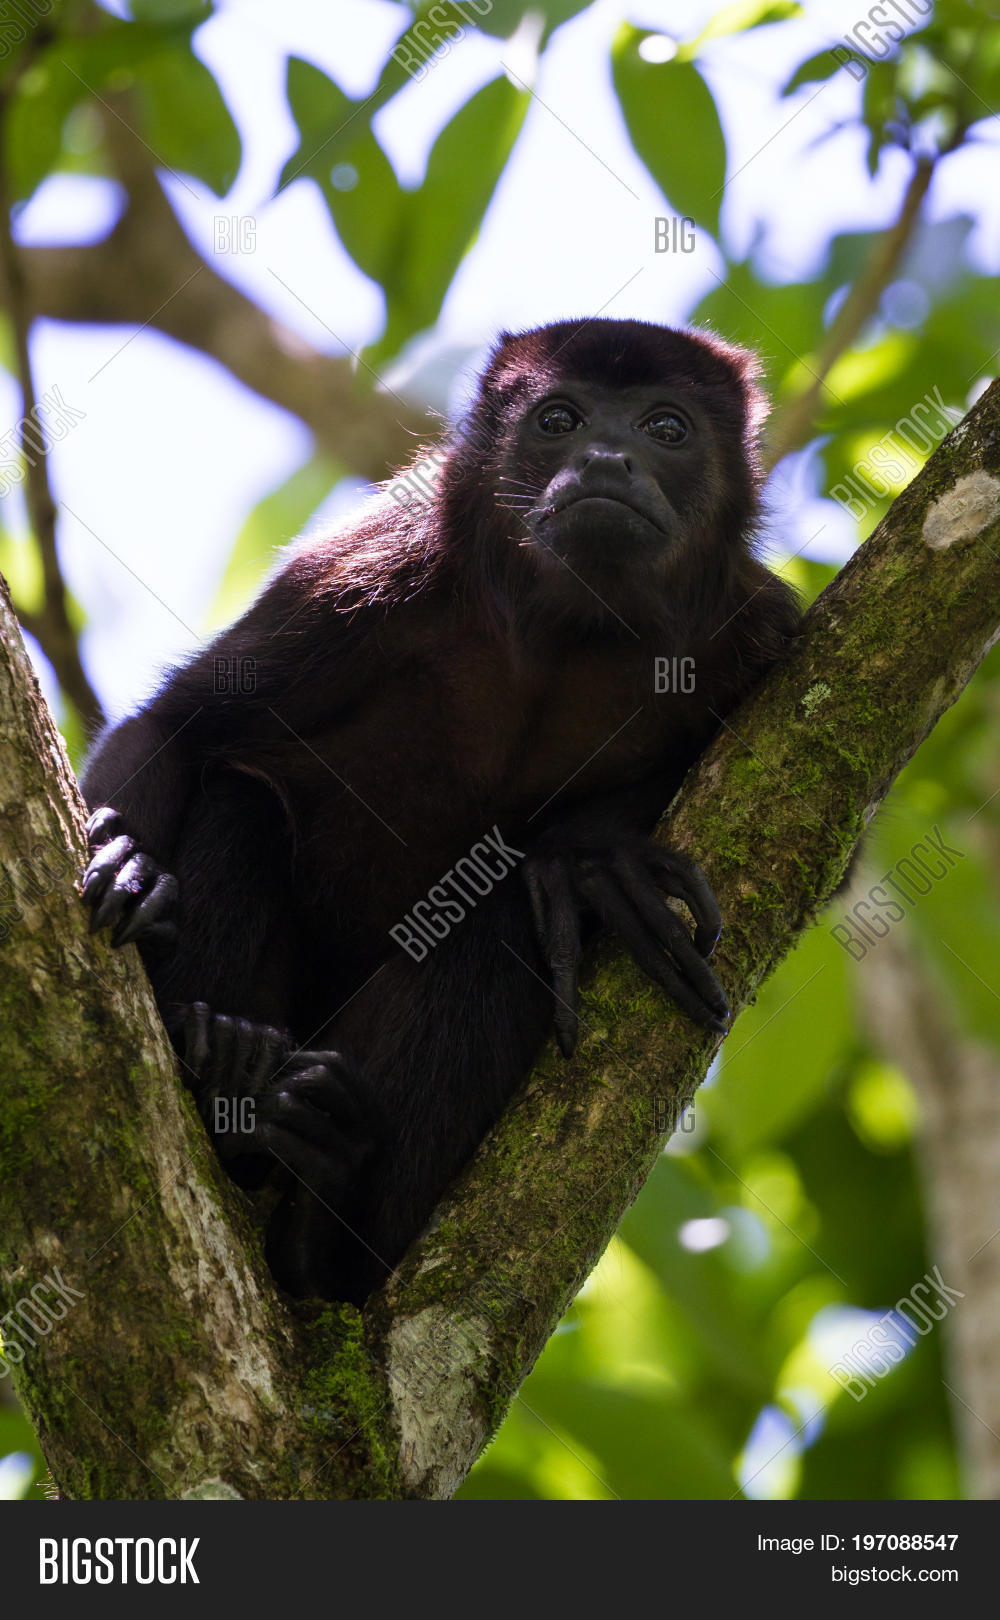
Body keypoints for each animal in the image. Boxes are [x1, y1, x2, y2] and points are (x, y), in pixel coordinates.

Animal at [79, 317, 801, 1304]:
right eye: (559, 419)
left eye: (666, 427)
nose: (607, 458)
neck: (570, 628)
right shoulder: (360, 576)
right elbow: (180, 728)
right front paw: (131, 870)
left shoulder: (756, 629)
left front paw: (592, 855)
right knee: (241, 801)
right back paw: (227, 1071)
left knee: (498, 925)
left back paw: (328, 1220)